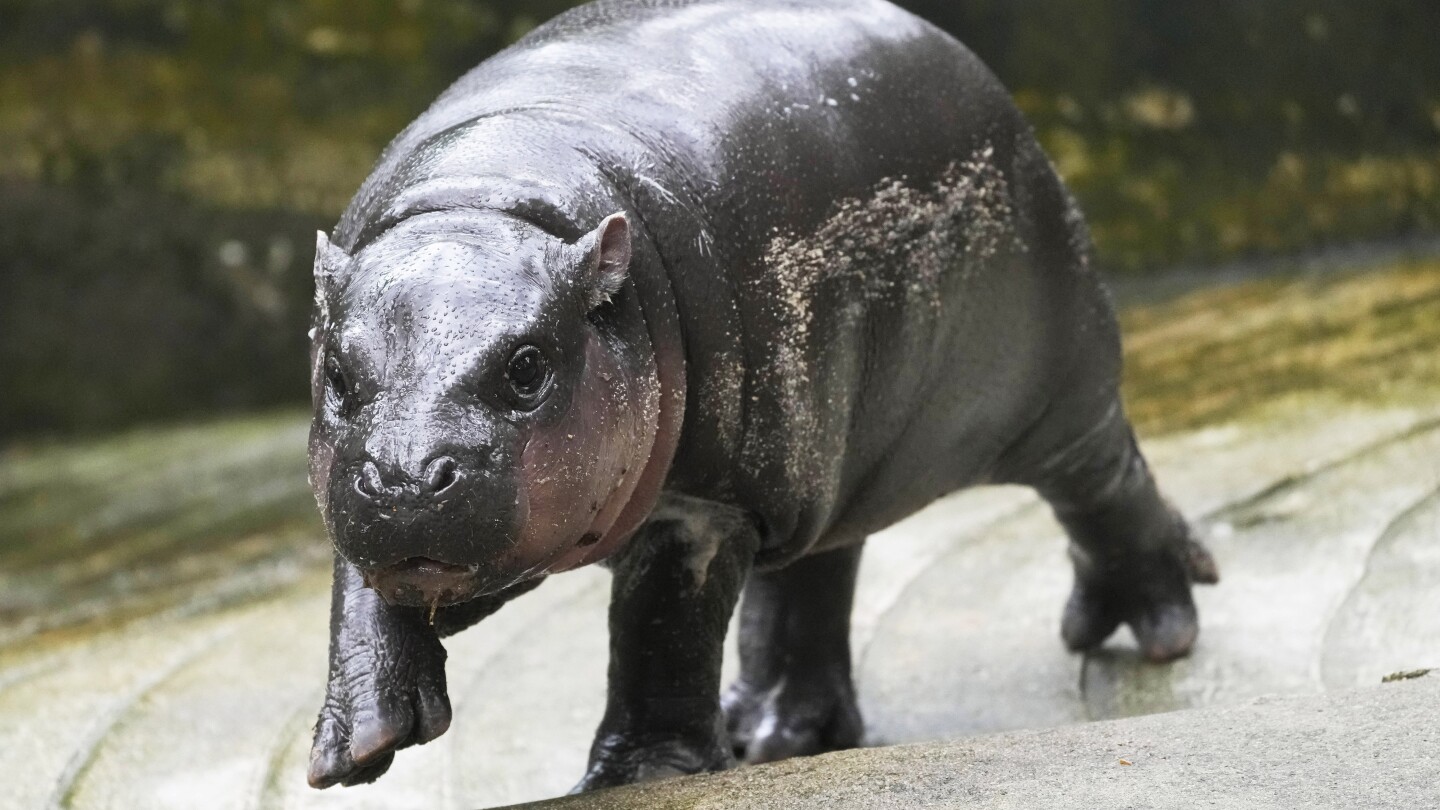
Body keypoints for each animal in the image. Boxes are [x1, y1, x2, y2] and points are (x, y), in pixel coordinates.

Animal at [303, 0, 1215, 795]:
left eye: (527, 366)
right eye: (338, 374)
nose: (406, 479)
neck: (487, 203)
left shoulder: (710, 502)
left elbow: (662, 630)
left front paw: (643, 777)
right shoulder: (360, 492)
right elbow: (361, 590)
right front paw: (359, 743)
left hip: (1052, 389)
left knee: (1104, 480)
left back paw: (1155, 625)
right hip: (829, 454)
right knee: (813, 576)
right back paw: (775, 733)